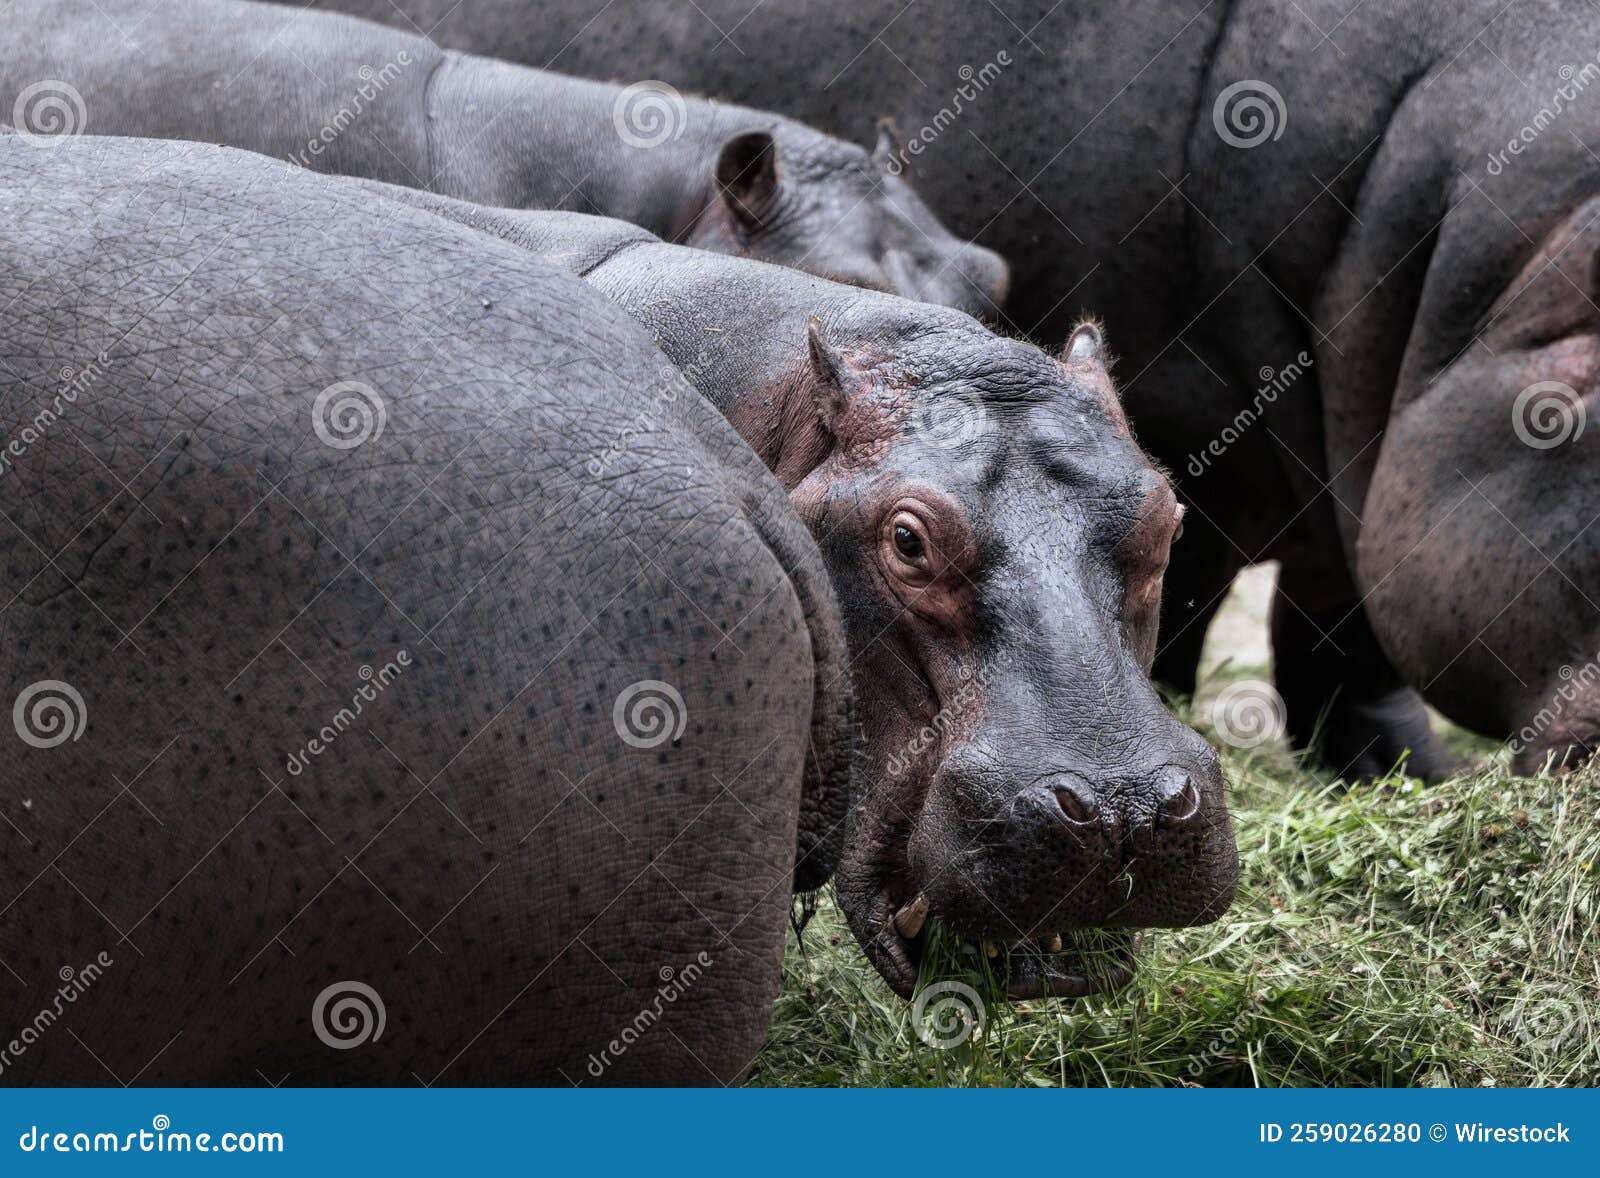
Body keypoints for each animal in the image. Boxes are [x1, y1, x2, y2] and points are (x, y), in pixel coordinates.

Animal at [317, 0, 1600, 776]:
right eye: (1582, 386)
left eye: (994, 272)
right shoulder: (1205, 425)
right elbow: (1194, 618)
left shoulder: (1353, 457)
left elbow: (1345, 636)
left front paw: (1409, 772)